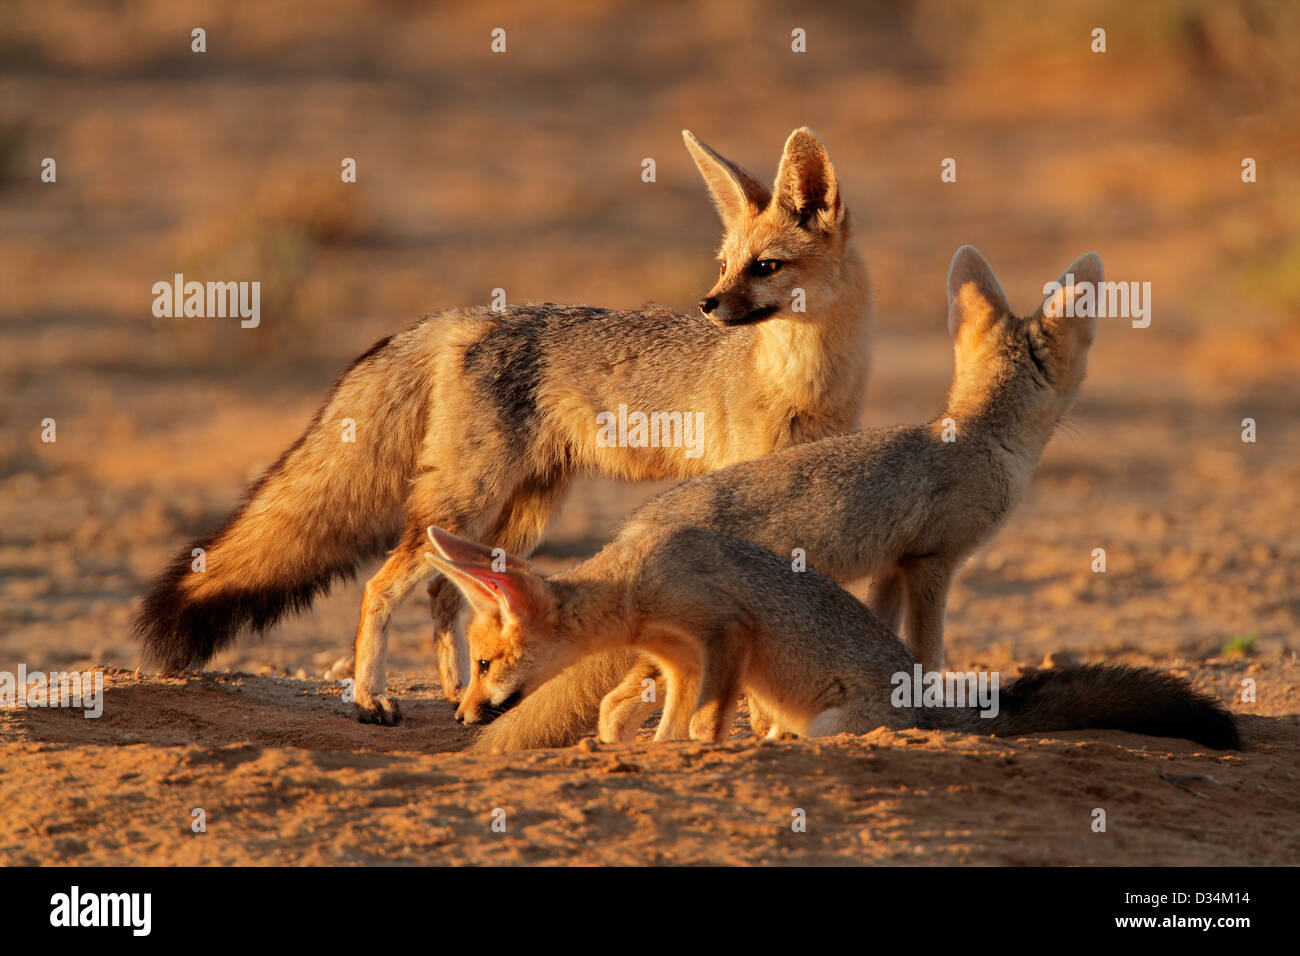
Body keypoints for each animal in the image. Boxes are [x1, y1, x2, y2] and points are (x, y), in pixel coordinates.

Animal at [133, 127, 873, 724]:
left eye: (765, 266)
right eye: (724, 264)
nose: (709, 305)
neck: (805, 379)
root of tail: (462, 318)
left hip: (518, 514)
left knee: (448, 590)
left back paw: (458, 693)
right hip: (471, 500)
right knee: (385, 586)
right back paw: (373, 698)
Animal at [425, 525, 1240, 751]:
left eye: (486, 664)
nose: (462, 714)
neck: (633, 582)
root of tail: (928, 703)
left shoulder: (725, 631)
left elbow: (706, 717)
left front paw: (698, 747)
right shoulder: (678, 659)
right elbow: (665, 715)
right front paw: (652, 745)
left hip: (829, 723)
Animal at [472, 244, 1107, 751]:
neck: (977, 434)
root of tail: (642, 520)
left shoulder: (891, 567)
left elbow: (880, 633)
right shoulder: (933, 564)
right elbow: (927, 655)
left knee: (616, 704)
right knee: (618, 702)